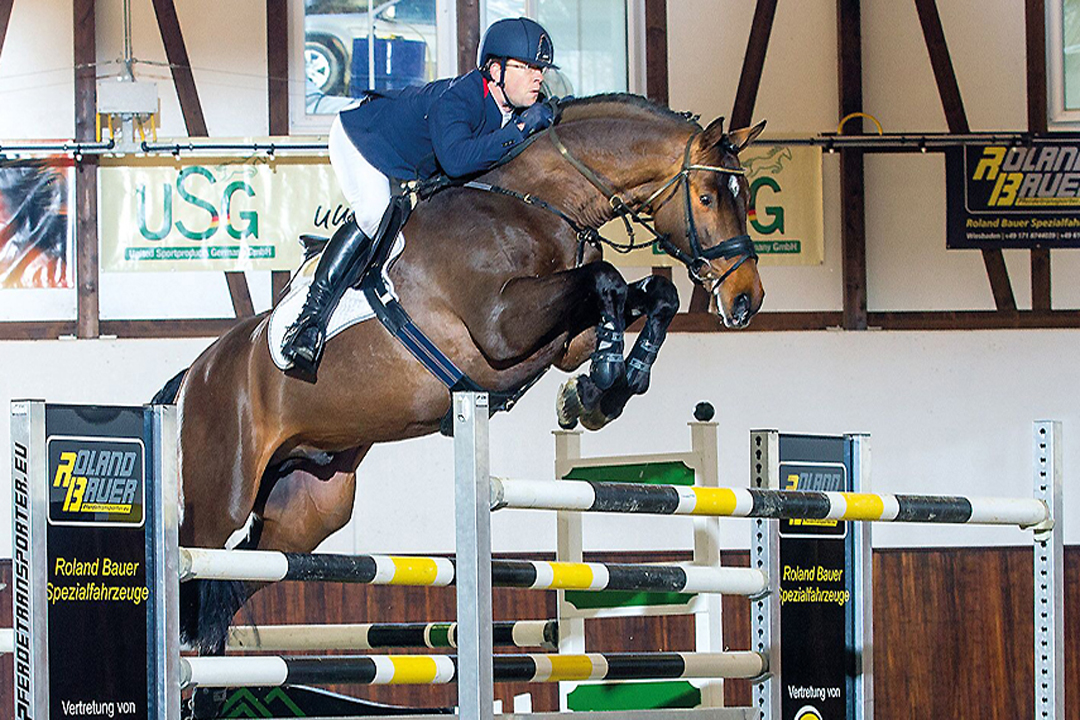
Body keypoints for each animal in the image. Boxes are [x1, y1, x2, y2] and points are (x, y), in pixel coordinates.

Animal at [166, 94, 766, 654]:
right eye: (707, 197)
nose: (747, 299)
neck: (539, 204)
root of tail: (194, 374)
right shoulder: (502, 325)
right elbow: (608, 281)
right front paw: (605, 378)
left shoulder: (564, 338)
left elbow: (650, 293)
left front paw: (597, 392)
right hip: (220, 502)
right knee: (193, 581)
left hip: (305, 513)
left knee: (226, 598)